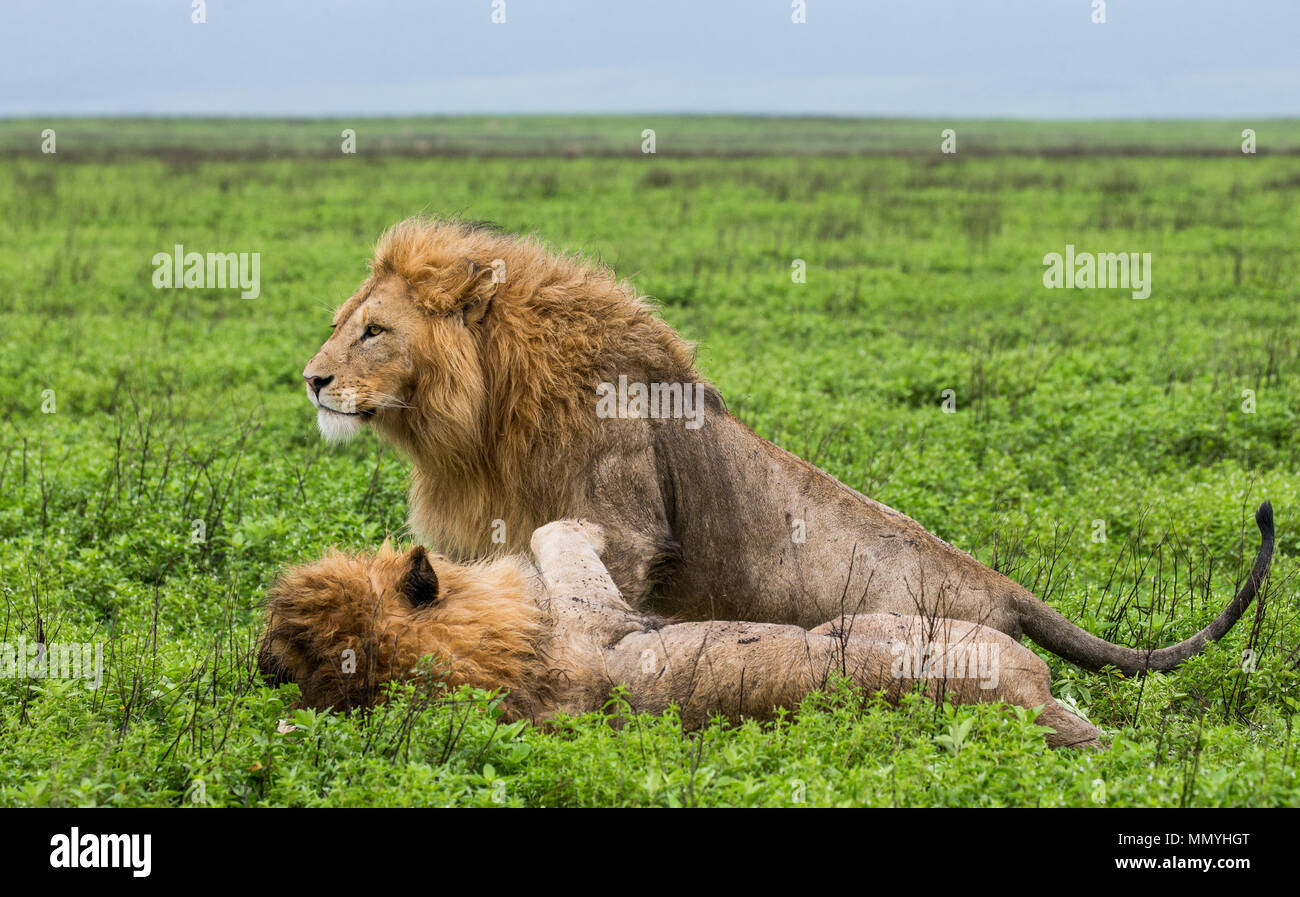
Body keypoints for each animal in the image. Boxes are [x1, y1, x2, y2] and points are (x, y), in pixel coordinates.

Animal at [259, 520, 1103, 749]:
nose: (263, 663)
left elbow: (551, 528)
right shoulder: (584, 601)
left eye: (282, 632)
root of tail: (1031, 704)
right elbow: (556, 529)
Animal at [301, 217, 1274, 676]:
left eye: (375, 331)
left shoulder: (626, 527)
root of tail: (1006, 589)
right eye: (342, 320)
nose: (311, 379)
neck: (479, 419)